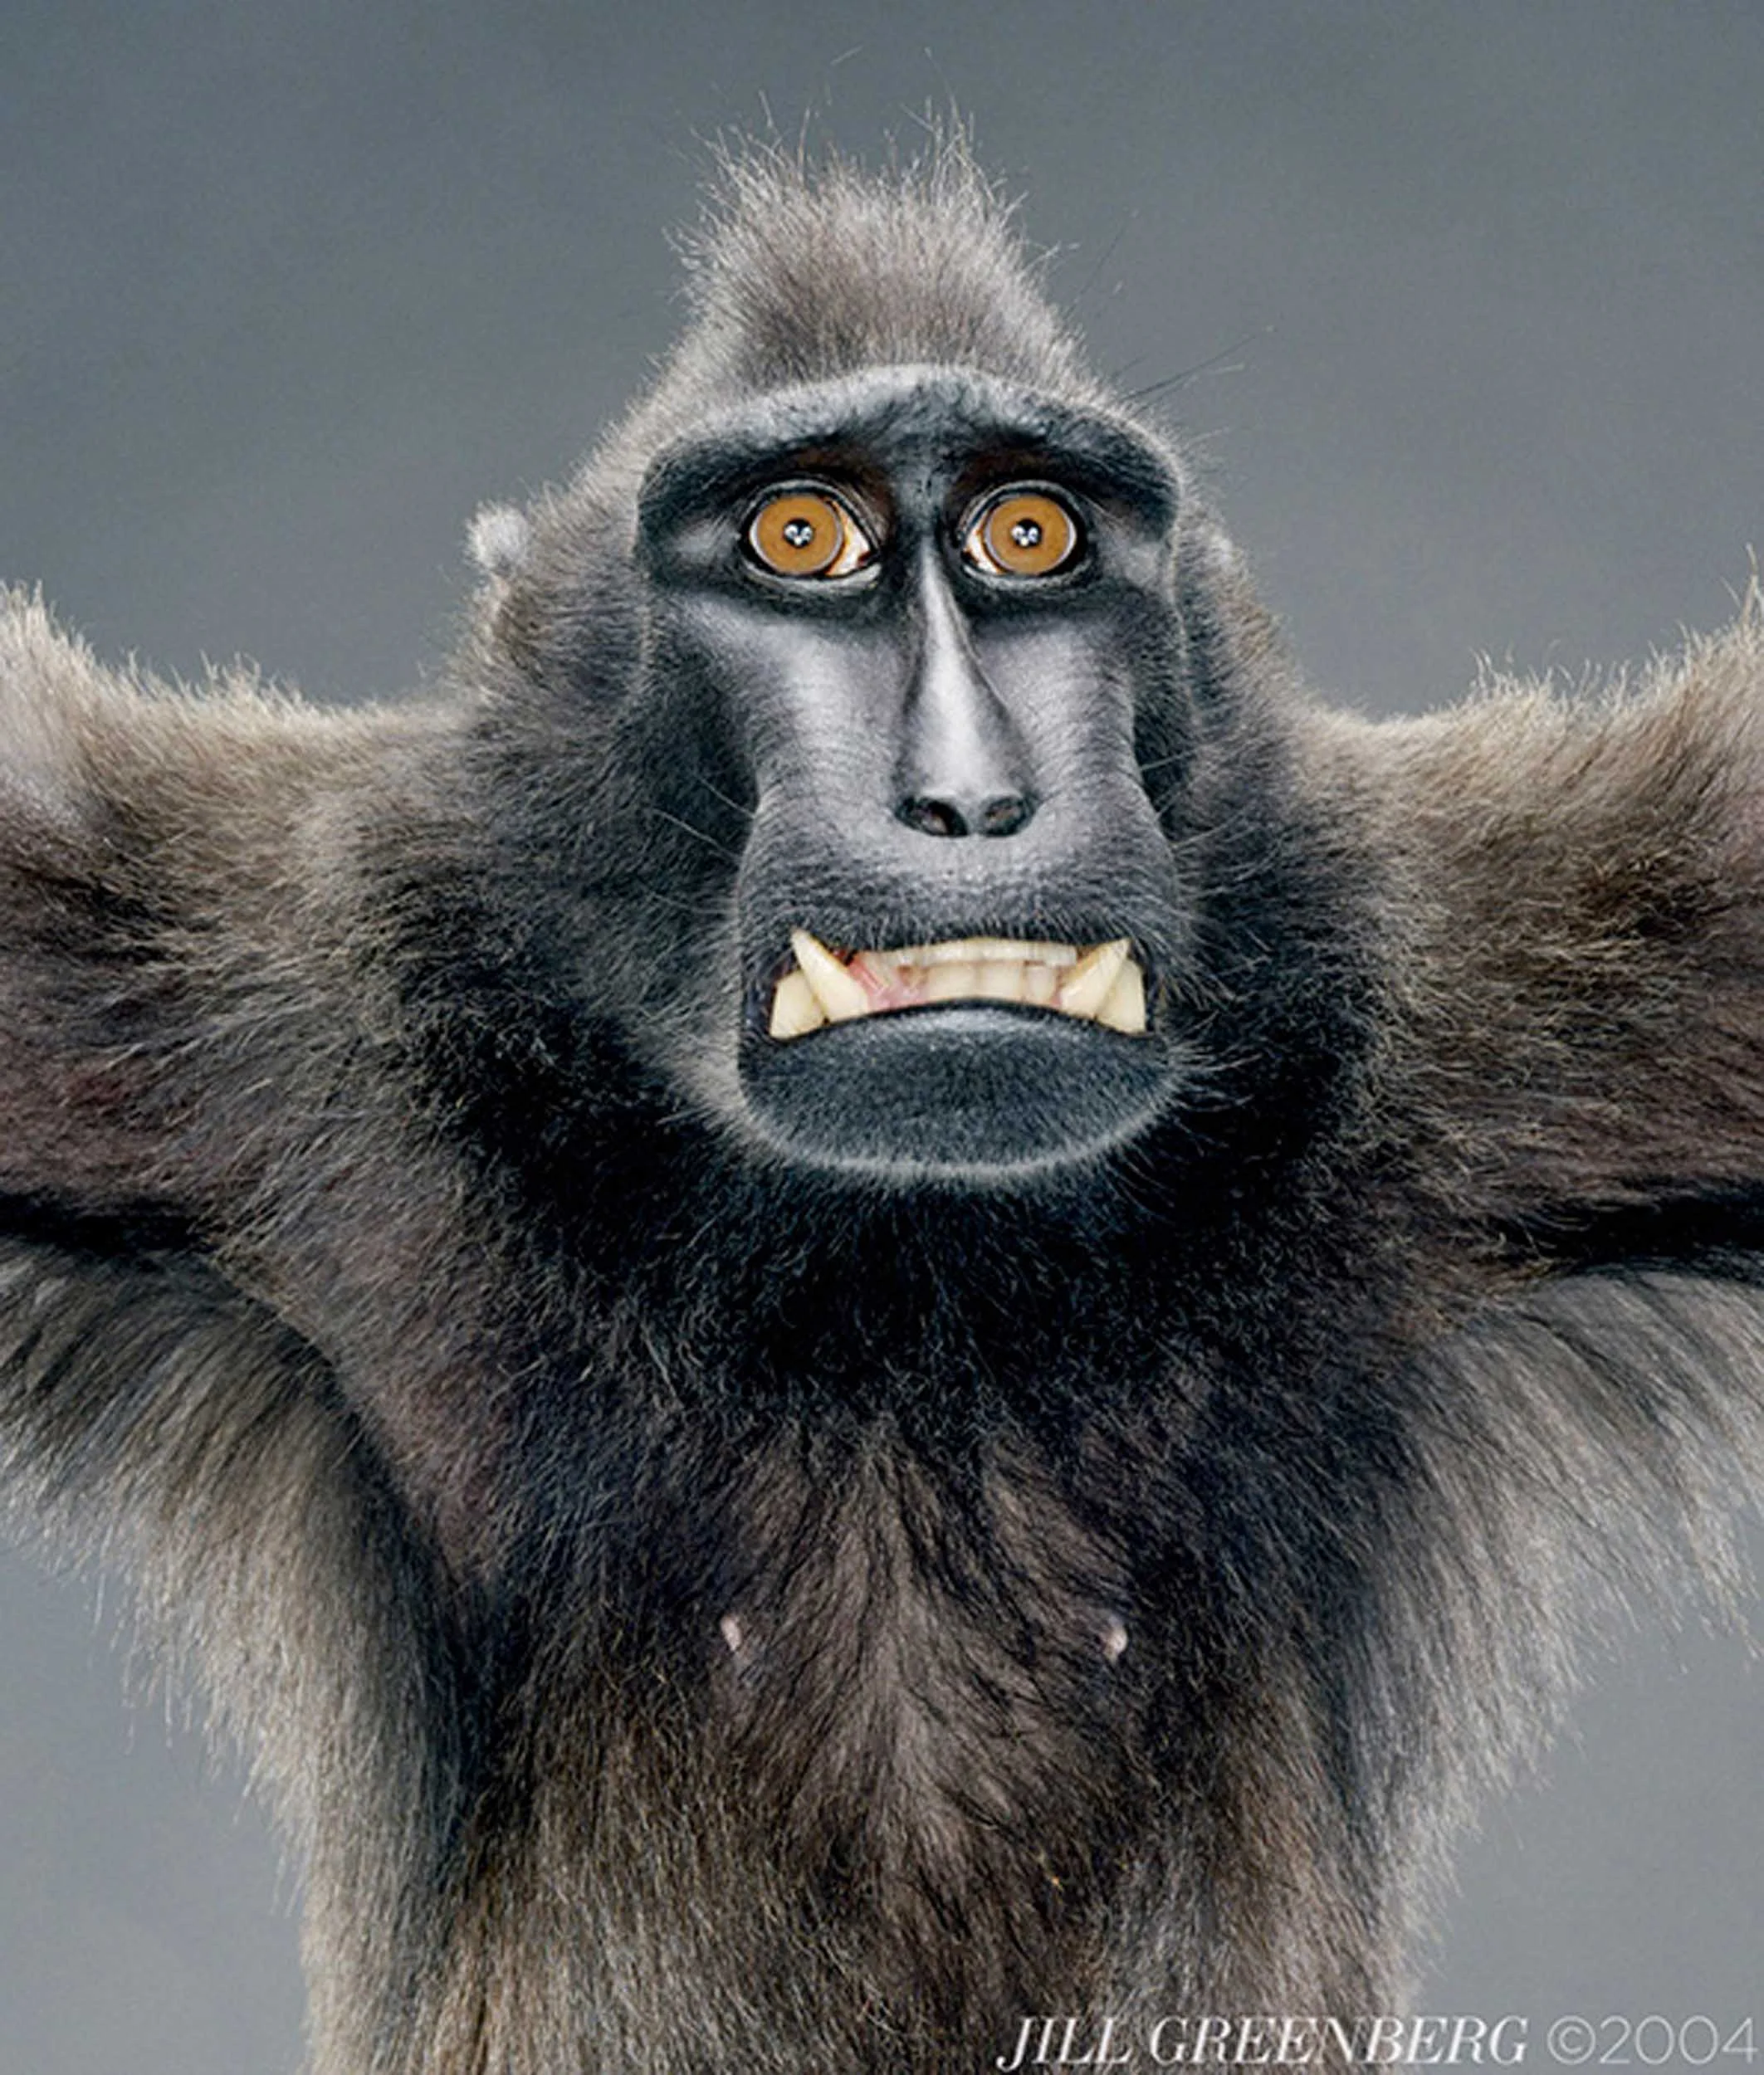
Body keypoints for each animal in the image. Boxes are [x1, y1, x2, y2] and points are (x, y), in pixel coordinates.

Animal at [0, 141, 1760, 2075]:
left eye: (1030, 535)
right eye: (798, 538)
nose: (970, 797)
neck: (896, 1273)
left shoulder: (1502, 981)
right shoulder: (254, 1003)